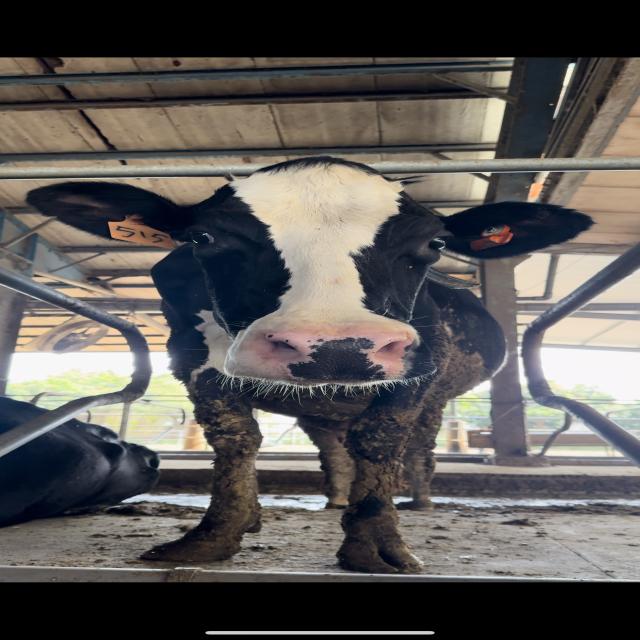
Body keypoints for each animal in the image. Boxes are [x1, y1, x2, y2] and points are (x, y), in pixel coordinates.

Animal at [26, 157, 593, 573]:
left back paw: (419, 502)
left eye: (433, 243)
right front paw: (215, 536)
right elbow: (235, 440)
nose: (335, 345)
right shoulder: (188, 353)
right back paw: (327, 502)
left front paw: (377, 546)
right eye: (203, 239)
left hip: (434, 398)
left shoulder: (422, 360)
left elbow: (380, 440)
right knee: (333, 449)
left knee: (416, 449)